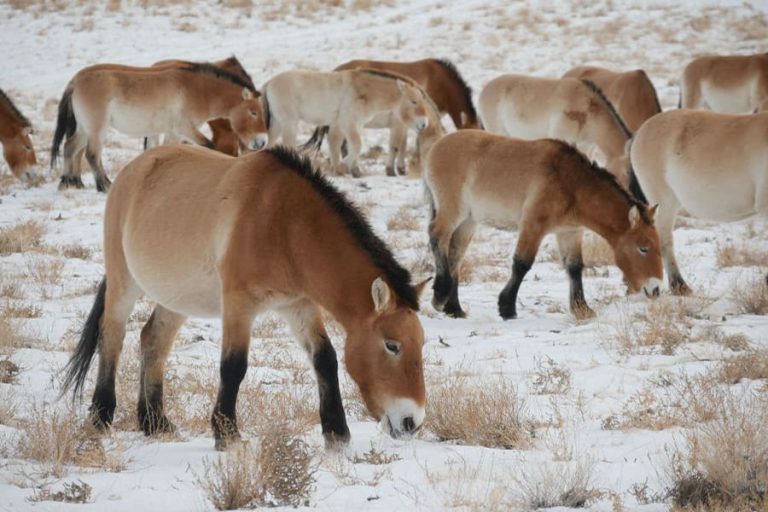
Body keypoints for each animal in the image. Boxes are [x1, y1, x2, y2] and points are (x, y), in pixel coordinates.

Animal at [50, 62, 268, 192]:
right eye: (254, 112)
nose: (262, 142)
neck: (197, 90)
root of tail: (75, 82)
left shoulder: (172, 132)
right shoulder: (184, 128)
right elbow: (209, 146)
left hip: (85, 129)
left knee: (70, 147)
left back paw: (71, 182)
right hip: (97, 129)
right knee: (92, 154)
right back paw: (105, 186)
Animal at [61, 145, 428, 450]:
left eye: (420, 344)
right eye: (392, 345)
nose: (412, 422)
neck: (282, 223)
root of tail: (131, 171)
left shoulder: (299, 306)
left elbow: (325, 359)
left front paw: (337, 433)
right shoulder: (239, 304)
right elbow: (234, 366)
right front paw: (227, 434)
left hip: (176, 297)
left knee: (153, 340)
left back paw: (155, 423)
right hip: (123, 283)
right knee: (112, 336)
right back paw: (101, 415)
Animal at [263, 69, 429, 177]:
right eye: (414, 101)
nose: (424, 123)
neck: (363, 90)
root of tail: (269, 83)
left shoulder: (347, 124)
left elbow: (339, 145)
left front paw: (338, 169)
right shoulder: (348, 122)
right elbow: (356, 145)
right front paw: (343, 166)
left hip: (276, 124)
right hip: (289, 123)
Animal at [424, 130, 662, 320]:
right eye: (643, 248)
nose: (656, 289)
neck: (572, 185)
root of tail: (436, 146)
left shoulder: (569, 233)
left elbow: (575, 267)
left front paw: (581, 309)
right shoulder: (533, 225)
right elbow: (522, 264)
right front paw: (507, 308)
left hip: (468, 221)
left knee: (454, 255)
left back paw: (454, 308)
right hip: (453, 212)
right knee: (437, 236)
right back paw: (440, 296)